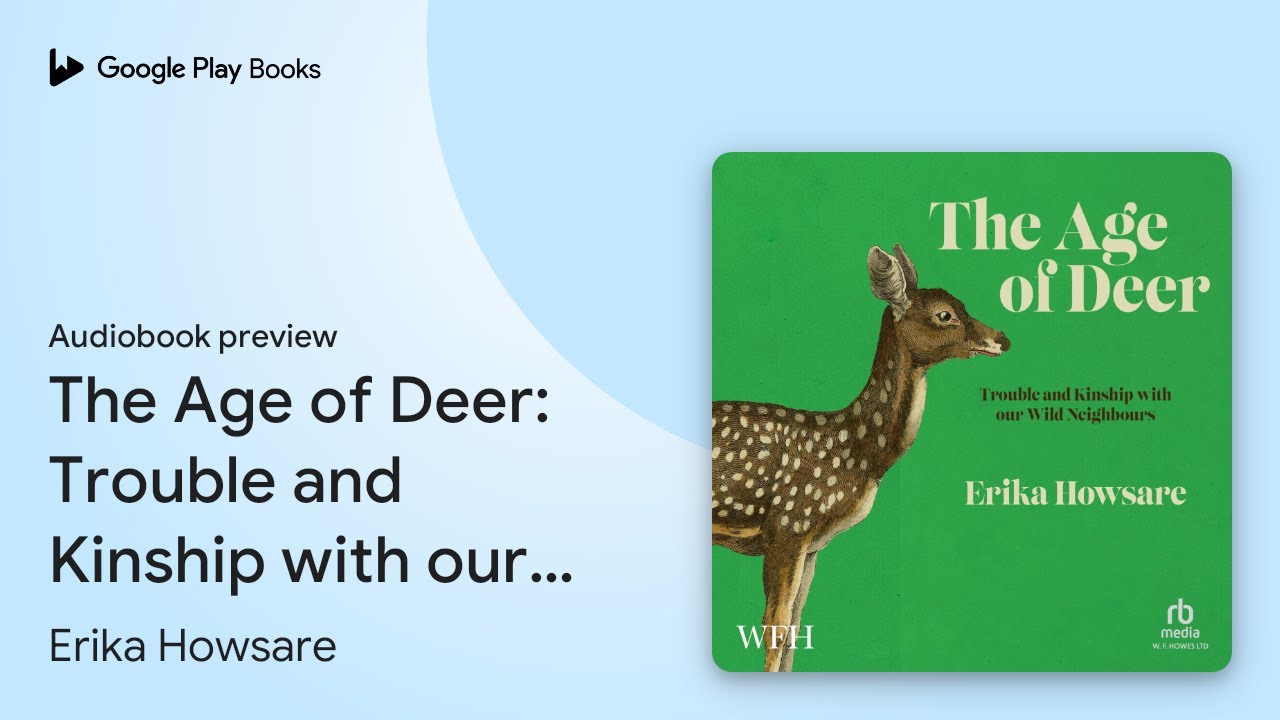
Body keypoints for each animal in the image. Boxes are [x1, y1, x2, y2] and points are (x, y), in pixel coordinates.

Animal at [711, 244, 1010, 672]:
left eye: (961, 303)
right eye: (945, 314)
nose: (1002, 339)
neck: (855, 450)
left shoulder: (813, 545)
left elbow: (795, 630)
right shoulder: (788, 525)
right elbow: (775, 629)